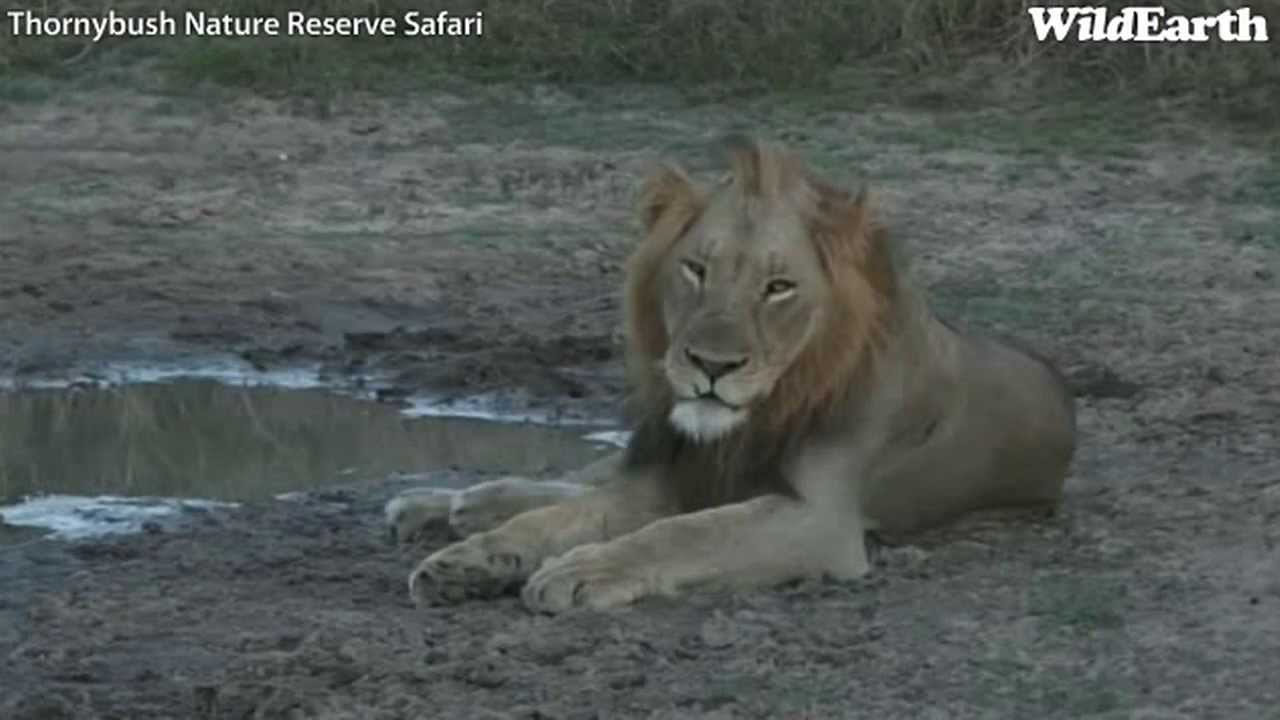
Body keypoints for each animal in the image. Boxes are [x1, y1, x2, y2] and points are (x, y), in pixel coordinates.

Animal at [386, 136, 1077, 613]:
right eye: (695, 269)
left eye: (778, 287)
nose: (711, 366)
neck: (751, 421)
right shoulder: (667, 475)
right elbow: (564, 516)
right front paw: (469, 561)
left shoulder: (822, 521)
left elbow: (683, 533)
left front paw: (577, 572)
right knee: (579, 478)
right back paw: (448, 505)